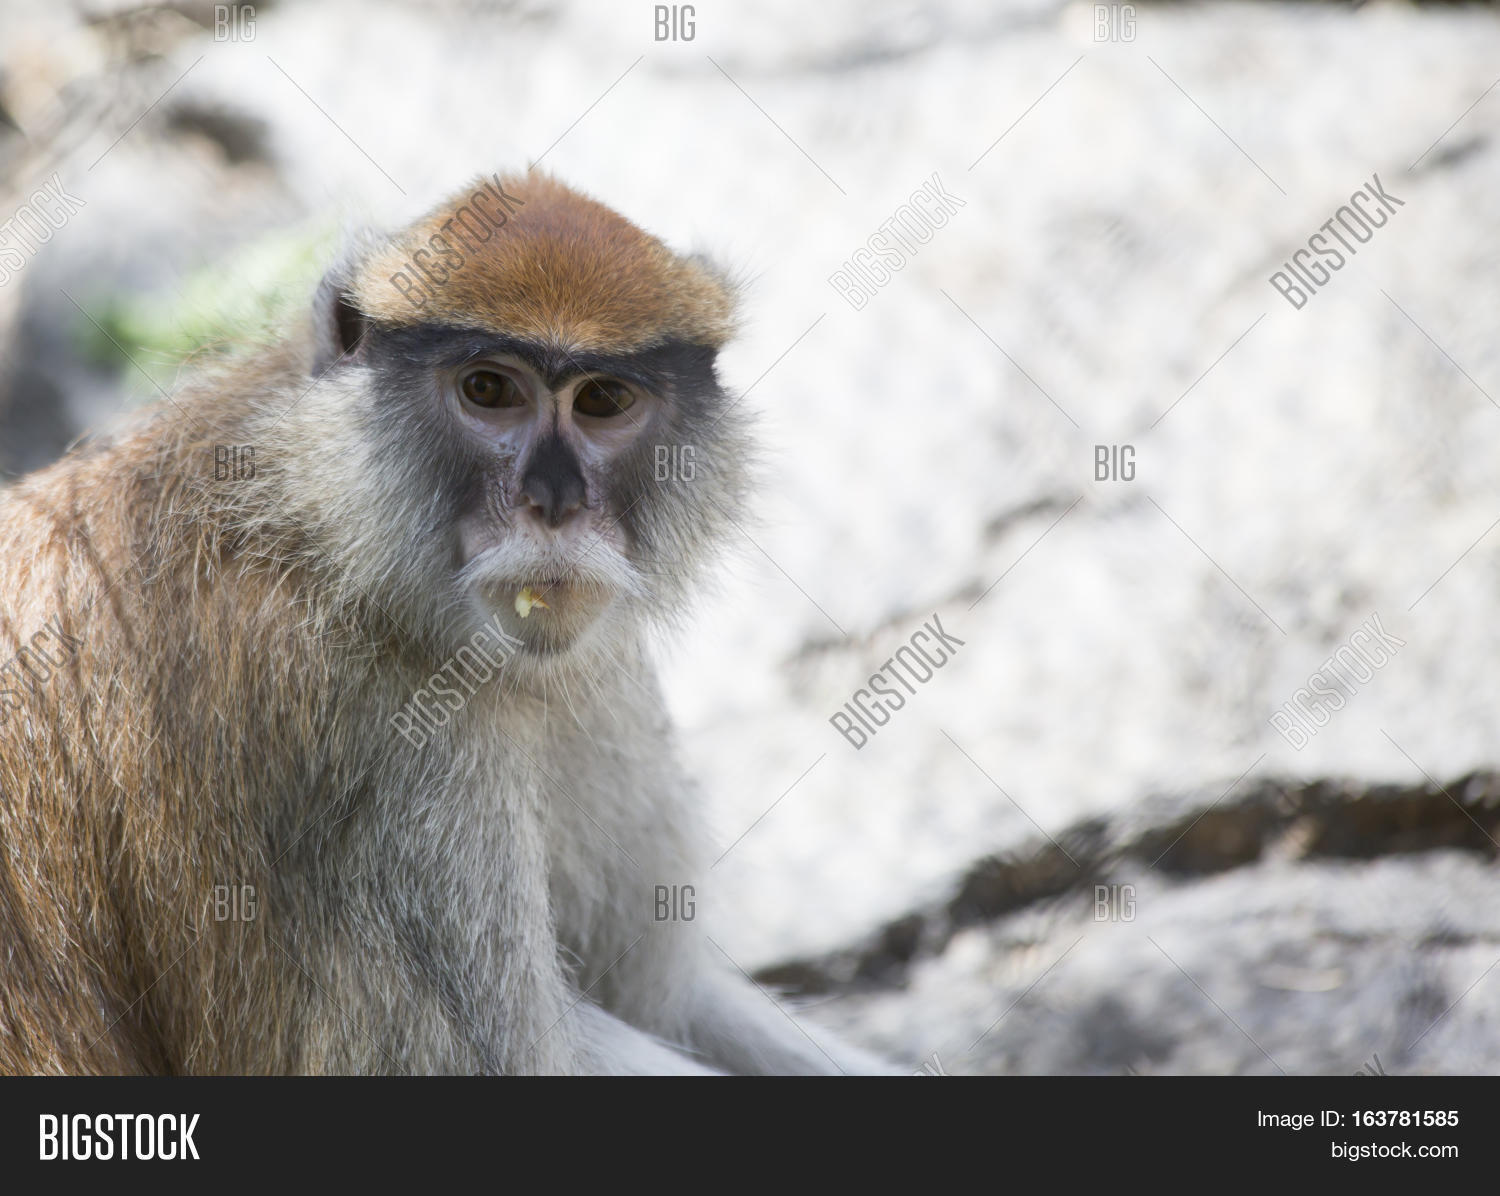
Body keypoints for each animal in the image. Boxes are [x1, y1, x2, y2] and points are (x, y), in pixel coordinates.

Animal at [0, 171, 896, 1075]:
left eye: (603, 400)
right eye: (489, 390)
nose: (554, 504)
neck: (313, 525)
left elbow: (665, 1000)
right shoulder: (359, 745)